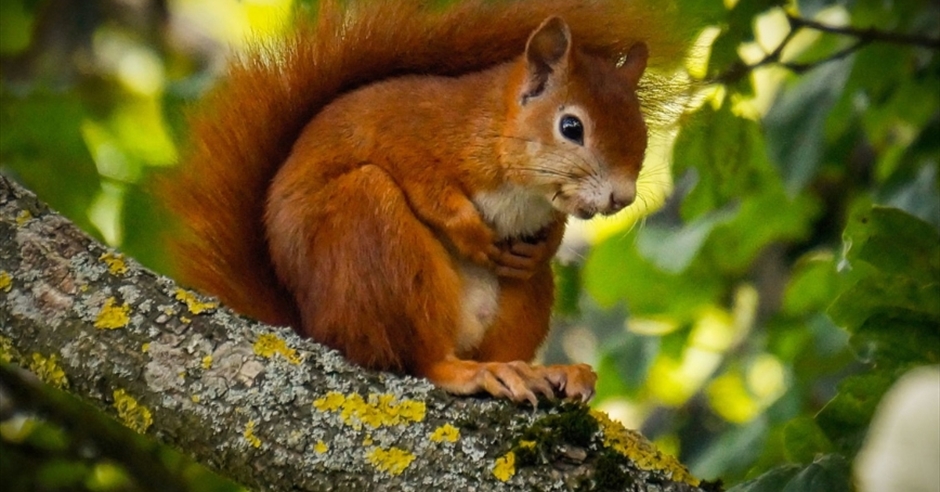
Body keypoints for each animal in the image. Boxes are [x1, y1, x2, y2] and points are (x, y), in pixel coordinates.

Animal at [165, 0, 684, 406]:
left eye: (641, 132)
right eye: (571, 127)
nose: (622, 197)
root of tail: (313, 326)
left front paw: (544, 244)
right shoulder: (403, 131)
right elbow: (425, 184)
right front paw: (469, 231)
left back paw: (542, 370)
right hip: (370, 235)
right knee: (418, 360)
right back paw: (470, 372)